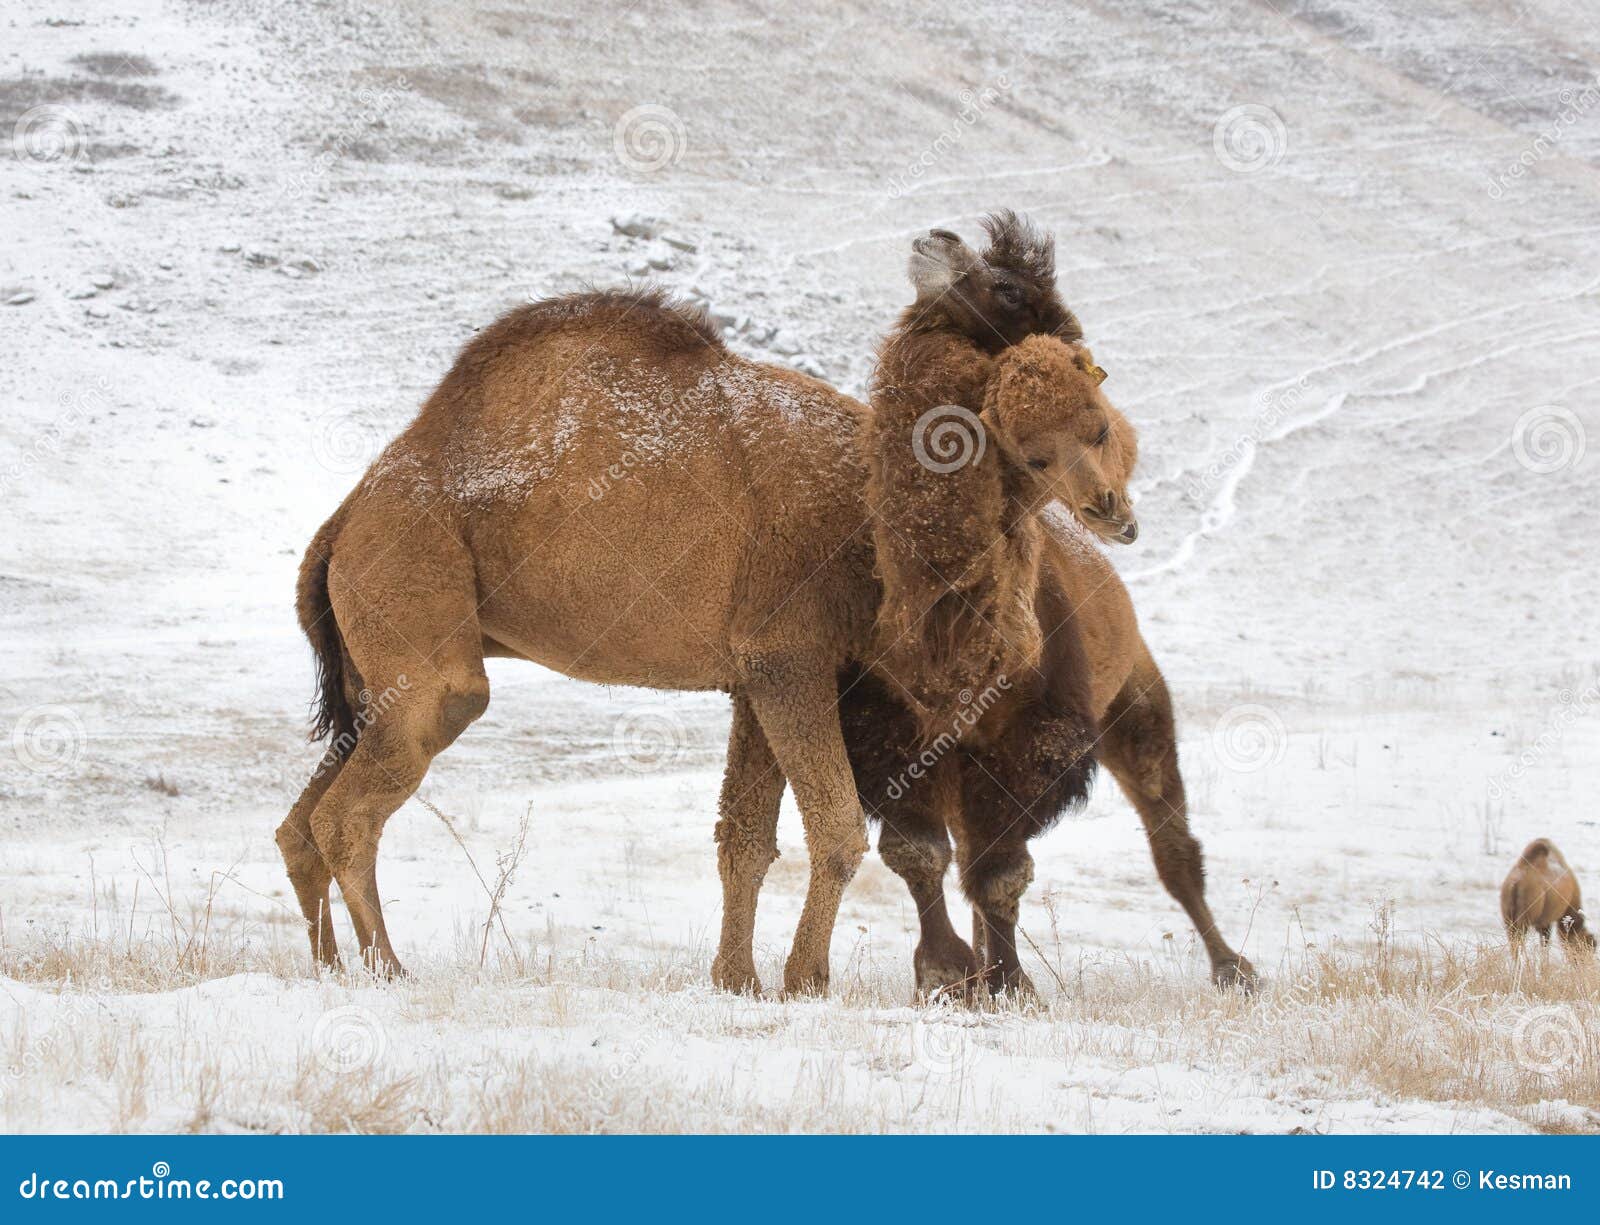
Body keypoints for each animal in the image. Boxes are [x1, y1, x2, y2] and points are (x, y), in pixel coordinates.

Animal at [277, 260, 1125, 995]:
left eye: (1099, 427)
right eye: (1033, 448)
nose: (1111, 506)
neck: (875, 509)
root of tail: (341, 524)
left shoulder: (757, 673)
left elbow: (745, 837)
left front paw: (736, 979)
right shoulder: (789, 653)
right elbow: (835, 828)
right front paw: (804, 980)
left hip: (372, 671)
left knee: (300, 823)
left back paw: (328, 964)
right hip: (420, 605)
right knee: (350, 810)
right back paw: (386, 968)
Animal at [718, 218, 1253, 995]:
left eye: (1008, 285)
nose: (935, 238)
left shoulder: (1033, 740)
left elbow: (1001, 871)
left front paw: (1006, 983)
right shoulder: (894, 732)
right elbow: (919, 853)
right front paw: (948, 971)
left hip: (1136, 700)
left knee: (1170, 840)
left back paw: (1234, 967)